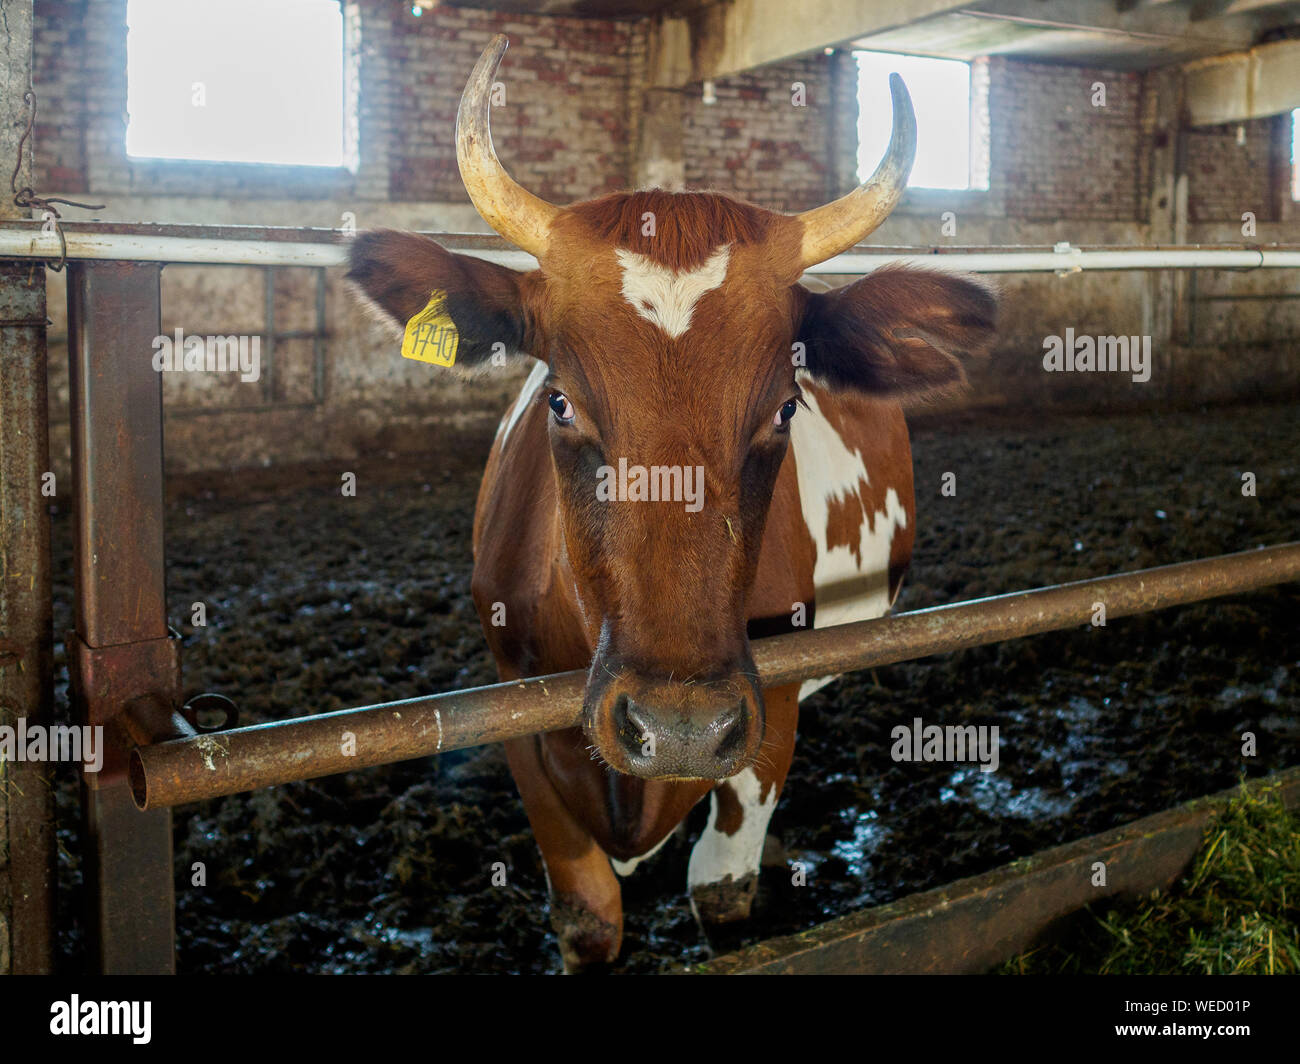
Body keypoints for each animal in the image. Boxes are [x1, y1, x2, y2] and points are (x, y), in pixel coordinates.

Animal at [347, 35, 996, 972]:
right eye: (560, 400)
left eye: (785, 409)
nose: (678, 727)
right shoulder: (517, 709)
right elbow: (588, 912)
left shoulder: (766, 713)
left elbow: (720, 890)